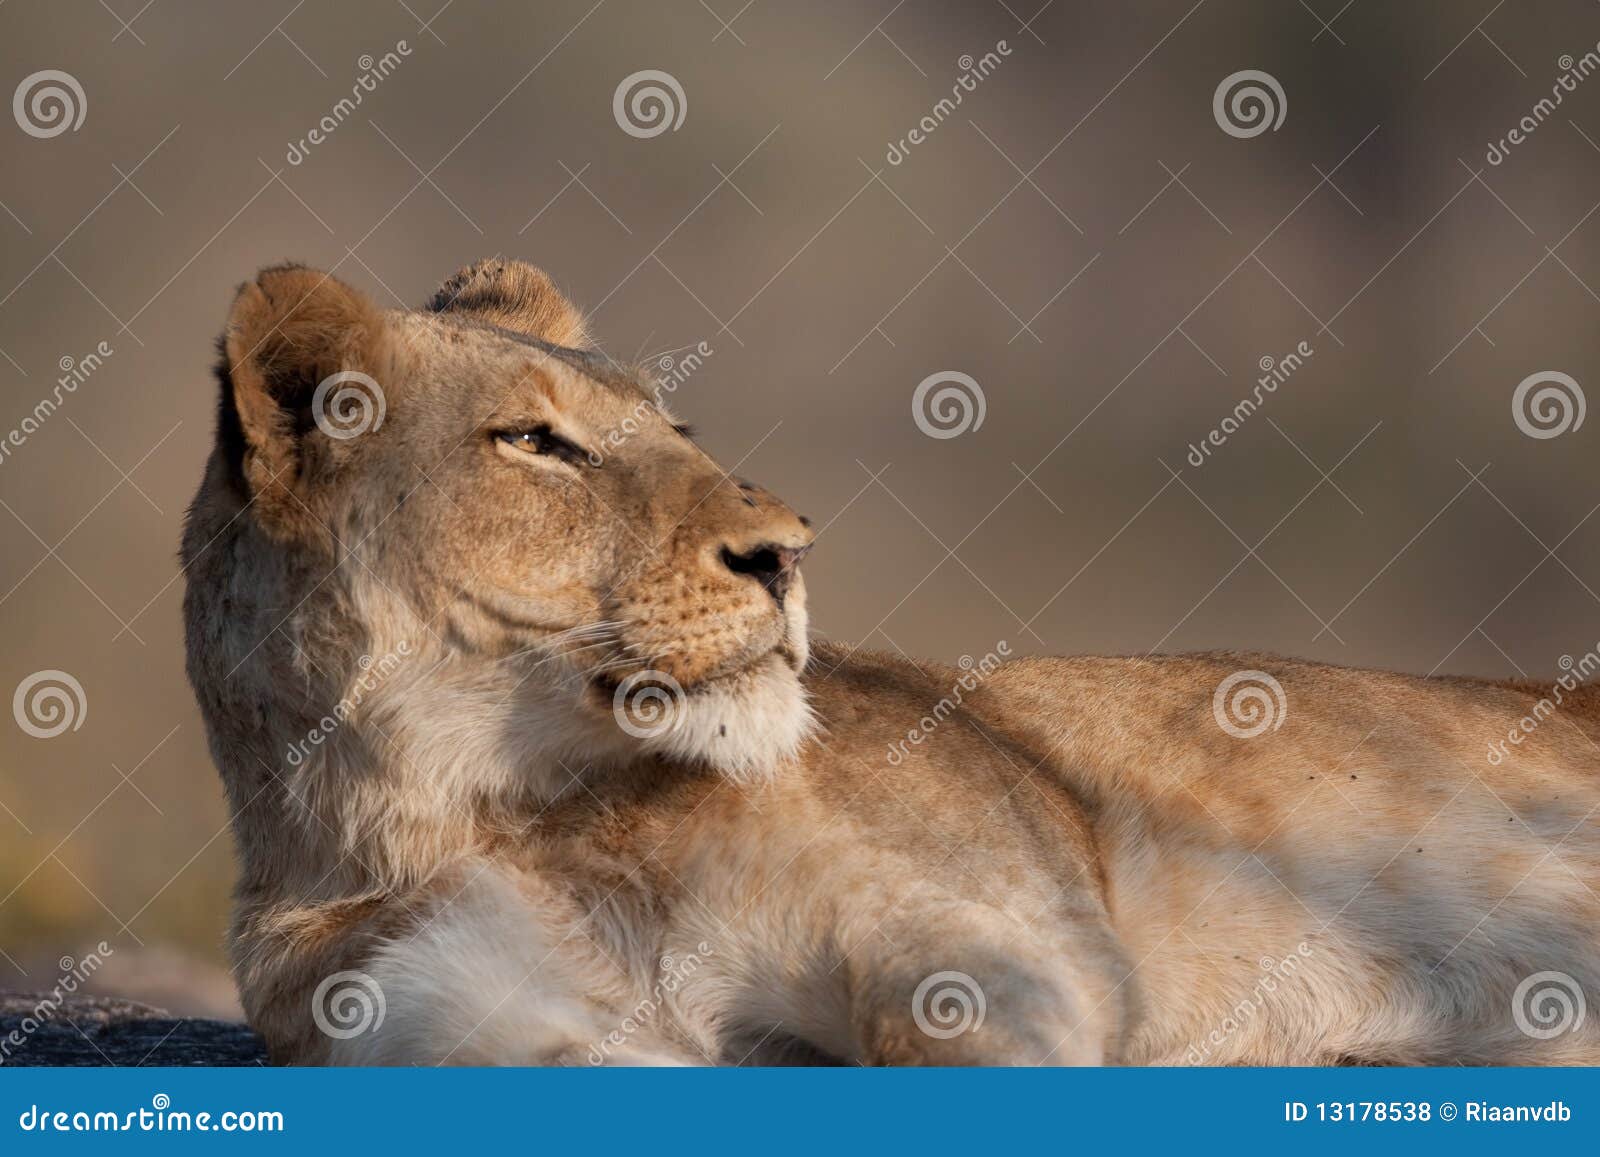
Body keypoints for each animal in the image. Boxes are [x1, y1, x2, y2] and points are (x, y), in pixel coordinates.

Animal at [182, 258, 1600, 1066]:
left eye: (675, 426)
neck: (478, 806)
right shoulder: (443, 1013)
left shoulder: (997, 945)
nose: (786, 552)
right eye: (535, 442)